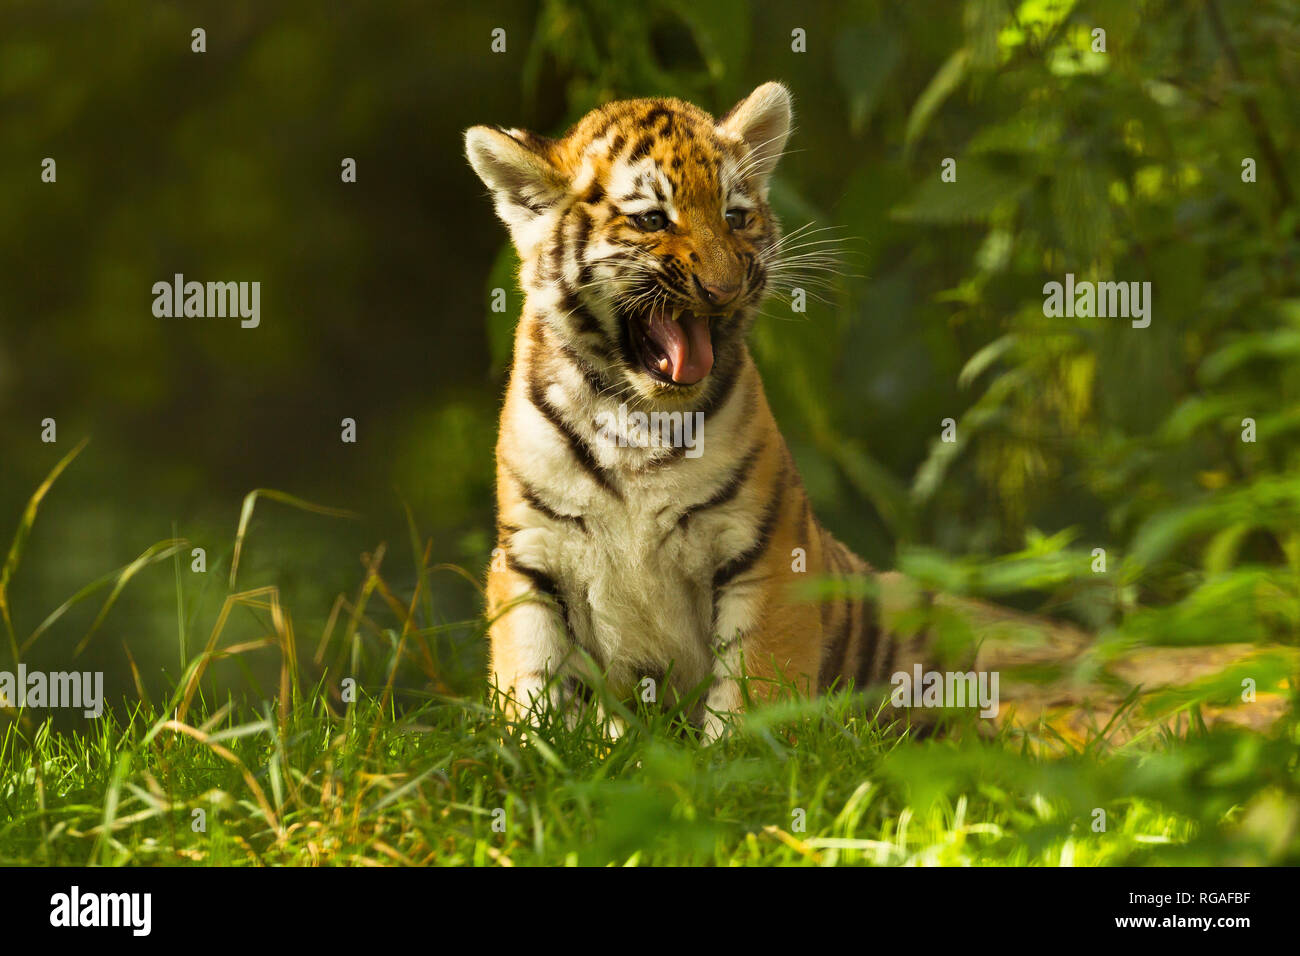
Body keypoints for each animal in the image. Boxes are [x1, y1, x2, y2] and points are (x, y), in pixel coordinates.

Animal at [464, 82, 1065, 740]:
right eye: (652, 219)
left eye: (735, 215)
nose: (726, 289)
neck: (636, 417)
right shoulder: (529, 557)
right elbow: (532, 682)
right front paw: (534, 750)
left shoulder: (762, 550)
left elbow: (754, 688)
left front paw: (735, 755)